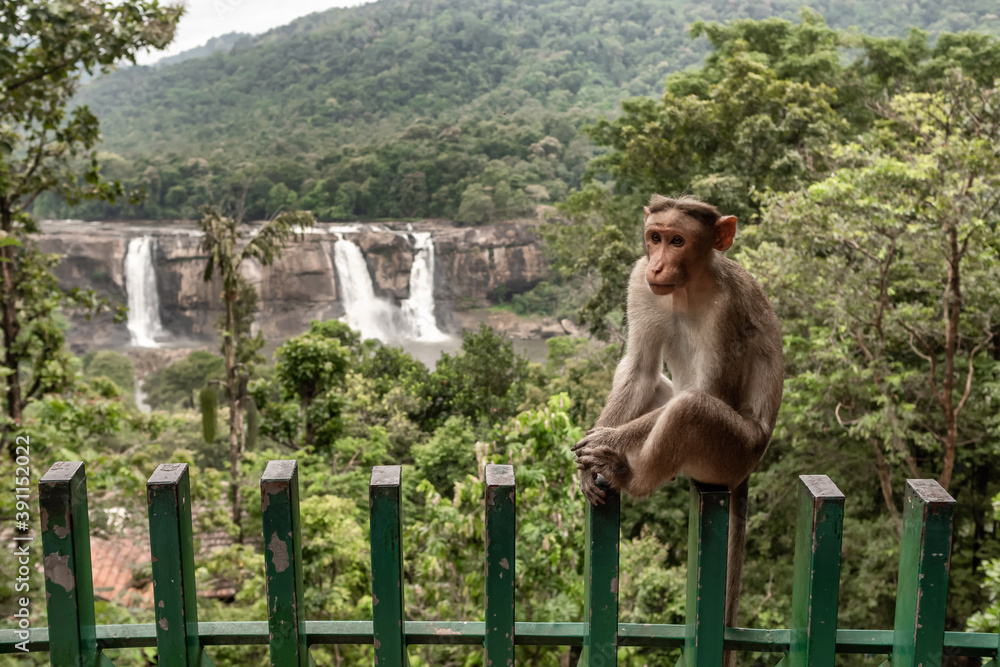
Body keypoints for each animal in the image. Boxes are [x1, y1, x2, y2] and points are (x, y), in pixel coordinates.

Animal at [572, 194, 783, 662]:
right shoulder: (639, 284)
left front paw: (606, 440)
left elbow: (709, 392)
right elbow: (638, 369)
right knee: (659, 387)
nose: (657, 265)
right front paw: (588, 463)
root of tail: (749, 469)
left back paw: (629, 476)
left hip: (731, 454)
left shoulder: (727, 310)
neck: (688, 289)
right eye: (654, 238)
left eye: (678, 241)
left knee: (690, 407)